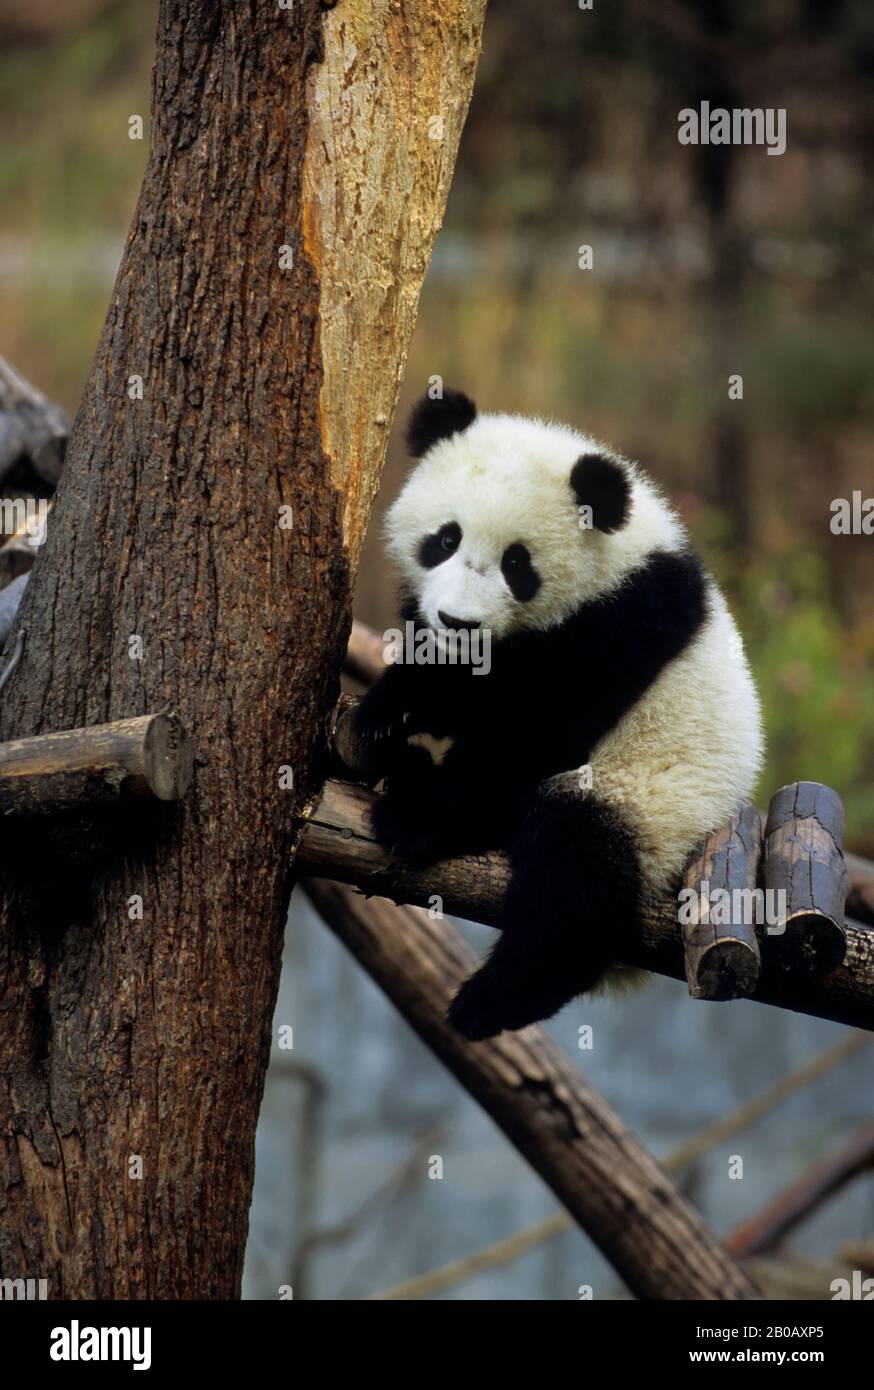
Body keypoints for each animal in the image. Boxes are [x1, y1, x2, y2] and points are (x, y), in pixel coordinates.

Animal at [349, 388, 764, 1040]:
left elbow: (532, 736)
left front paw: (417, 818)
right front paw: (386, 716)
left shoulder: (619, 623)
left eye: (517, 564)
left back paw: (487, 1002)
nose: (459, 623)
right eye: (445, 539)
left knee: (573, 873)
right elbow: (442, 678)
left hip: (655, 805)